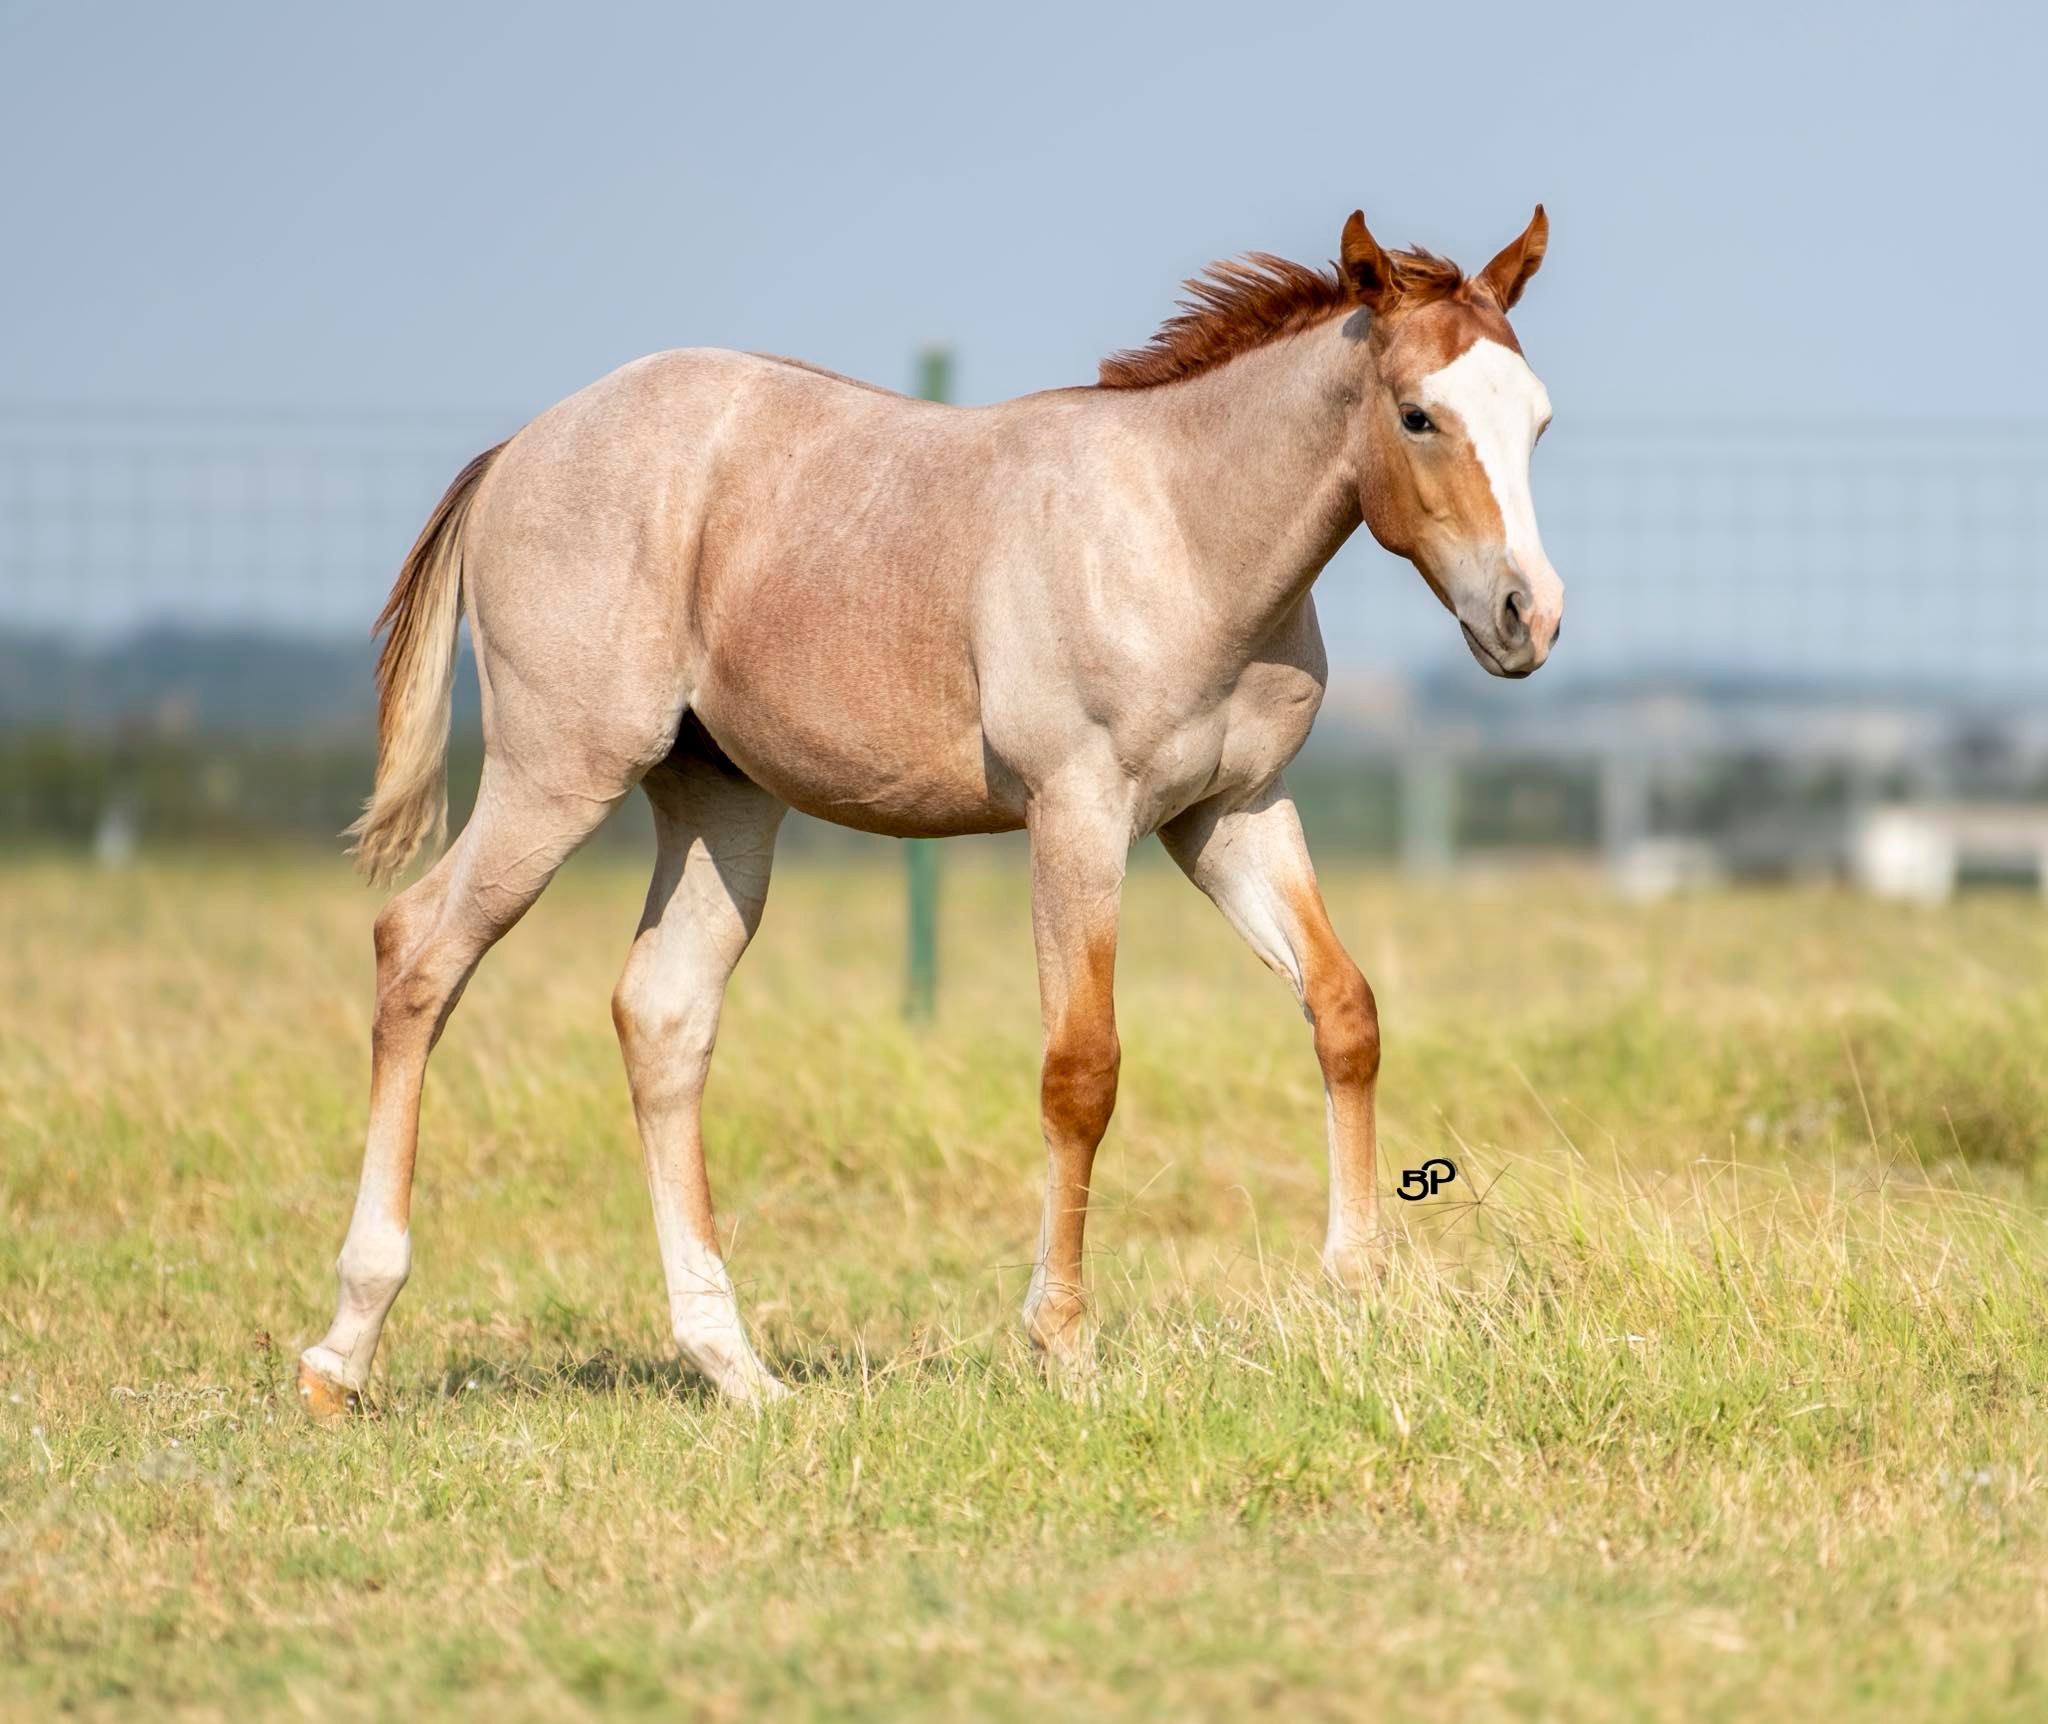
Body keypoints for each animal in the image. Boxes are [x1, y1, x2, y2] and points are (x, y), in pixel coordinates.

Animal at [297, 205, 1563, 1414]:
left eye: (1538, 422)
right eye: (1416, 416)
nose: (1526, 616)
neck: (1177, 532)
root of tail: (521, 445)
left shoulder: (1231, 812)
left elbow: (1343, 1011)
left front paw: (1358, 1290)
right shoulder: (1076, 815)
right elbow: (1080, 1070)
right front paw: (1062, 1340)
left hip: (717, 799)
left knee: (661, 1012)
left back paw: (735, 1366)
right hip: (558, 769)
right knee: (419, 950)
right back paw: (344, 1347)